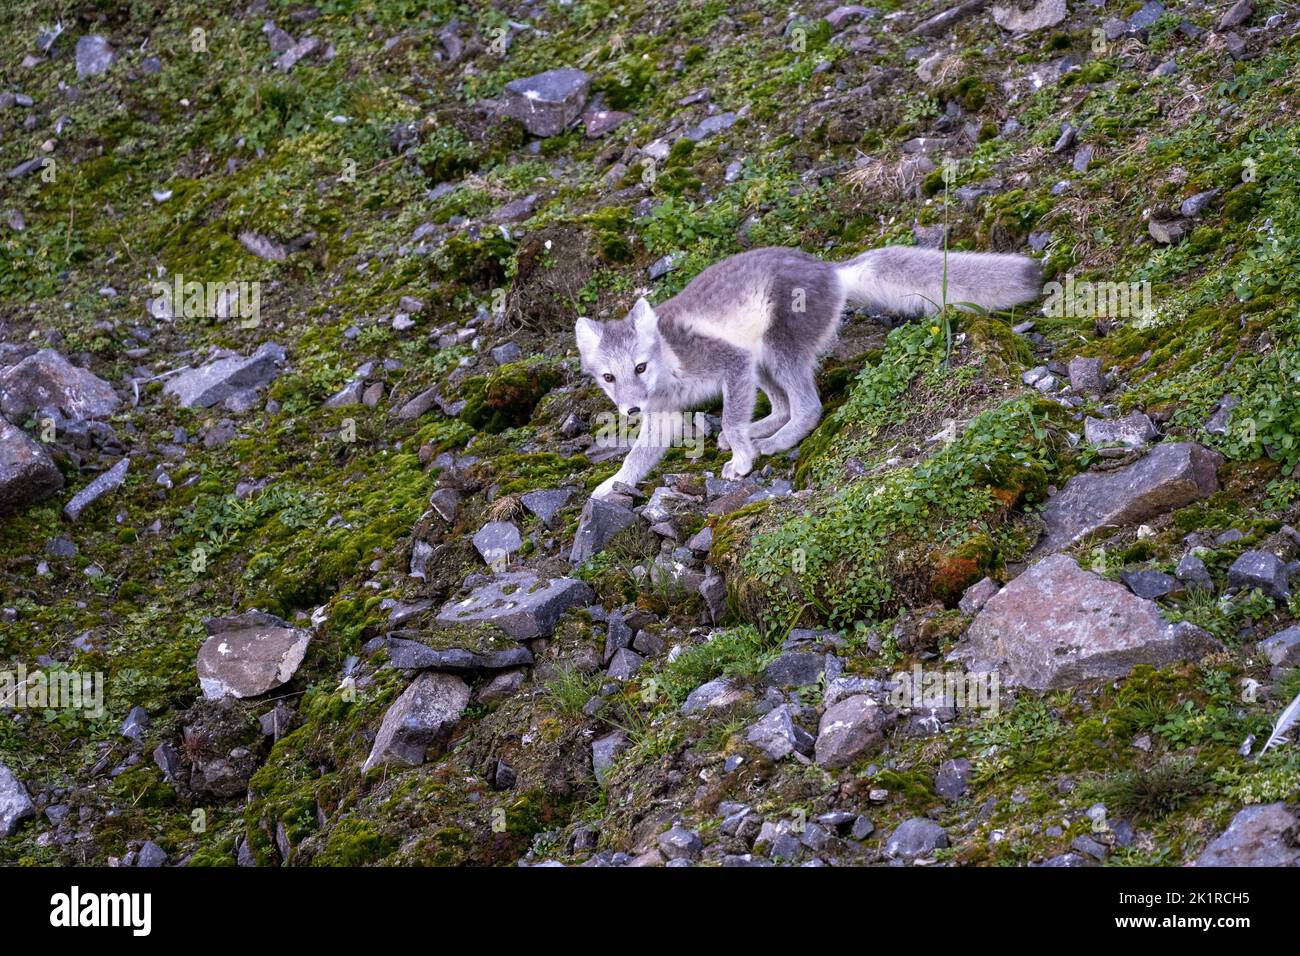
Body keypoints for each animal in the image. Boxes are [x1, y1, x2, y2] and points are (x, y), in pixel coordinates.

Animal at [575, 245, 1042, 499]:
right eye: (609, 378)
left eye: (640, 366)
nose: (631, 411)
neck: (669, 365)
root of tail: (832, 270)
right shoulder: (663, 416)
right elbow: (637, 456)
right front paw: (609, 486)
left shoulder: (731, 362)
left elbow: (731, 416)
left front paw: (741, 461)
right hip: (763, 361)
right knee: (781, 406)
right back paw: (760, 433)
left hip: (776, 349)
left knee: (808, 407)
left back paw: (771, 443)